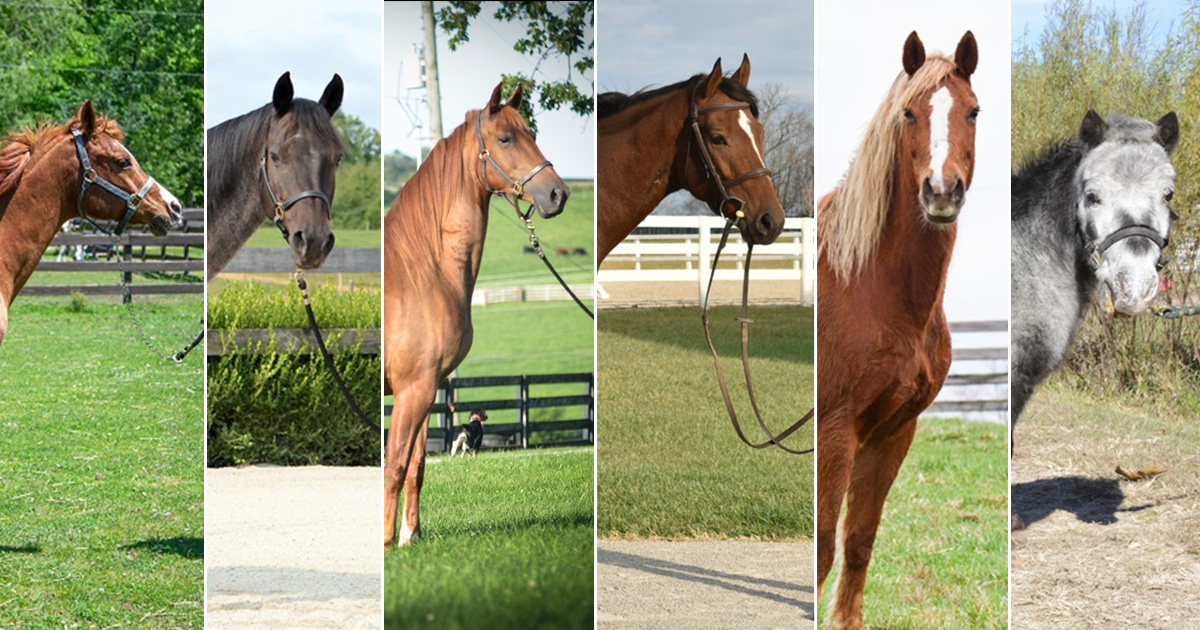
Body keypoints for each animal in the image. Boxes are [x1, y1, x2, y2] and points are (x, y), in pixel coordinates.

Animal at [383, 82, 569, 548]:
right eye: (505, 138)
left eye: (531, 132)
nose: (557, 194)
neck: (422, 268)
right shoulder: (410, 390)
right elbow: (395, 465)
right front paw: (387, 543)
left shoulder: (427, 388)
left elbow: (416, 467)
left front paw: (410, 538)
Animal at [816, 31, 978, 630]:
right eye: (909, 113)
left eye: (973, 111)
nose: (941, 191)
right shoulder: (834, 433)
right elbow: (823, 547)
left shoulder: (892, 433)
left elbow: (858, 541)